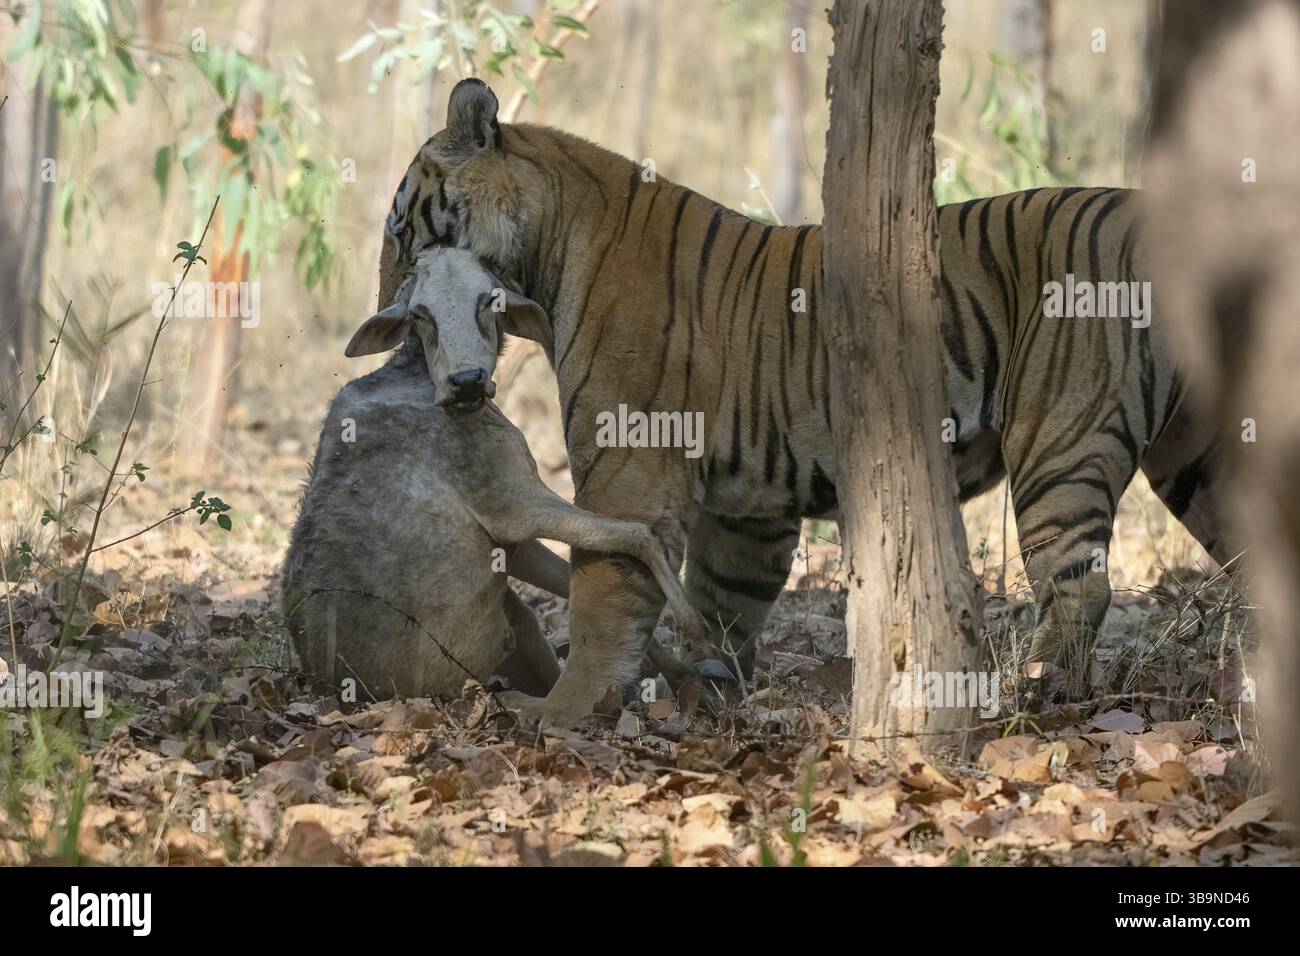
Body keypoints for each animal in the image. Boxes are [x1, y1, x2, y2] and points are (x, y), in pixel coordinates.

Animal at [376, 77, 1231, 726]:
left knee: (1081, 587)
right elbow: (726, 605)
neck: (549, 248)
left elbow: (603, 591)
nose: (388, 320)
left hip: (1061, 439)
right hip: (1202, 457)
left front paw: (560, 711)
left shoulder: (629, 469)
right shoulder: (746, 509)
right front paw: (710, 697)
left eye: (400, 233)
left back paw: (1024, 695)